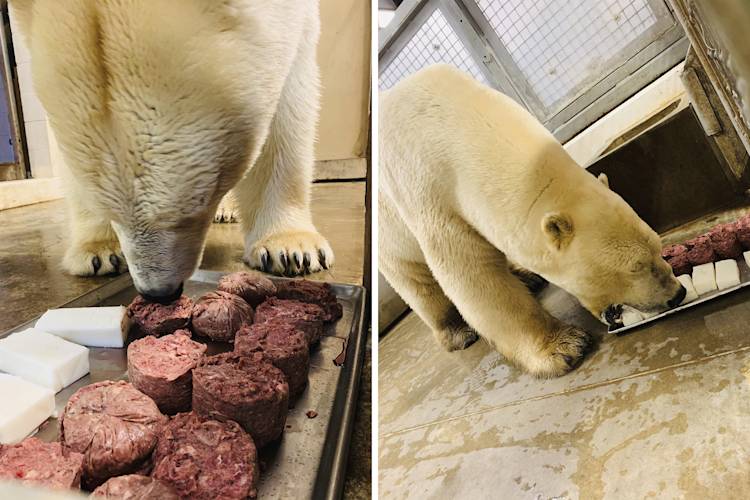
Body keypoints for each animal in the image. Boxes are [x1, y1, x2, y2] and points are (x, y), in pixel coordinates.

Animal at [10, 0, 333, 299]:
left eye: (198, 203)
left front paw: (291, 247)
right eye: (110, 211)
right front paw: (98, 250)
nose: (157, 292)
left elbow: (289, 100)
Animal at [379, 65, 685, 377]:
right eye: (635, 267)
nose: (677, 294)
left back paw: (527, 276)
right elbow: (472, 276)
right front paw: (563, 347)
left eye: (658, 247)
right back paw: (457, 331)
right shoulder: (431, 196)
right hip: (388, 236)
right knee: (413, 278)